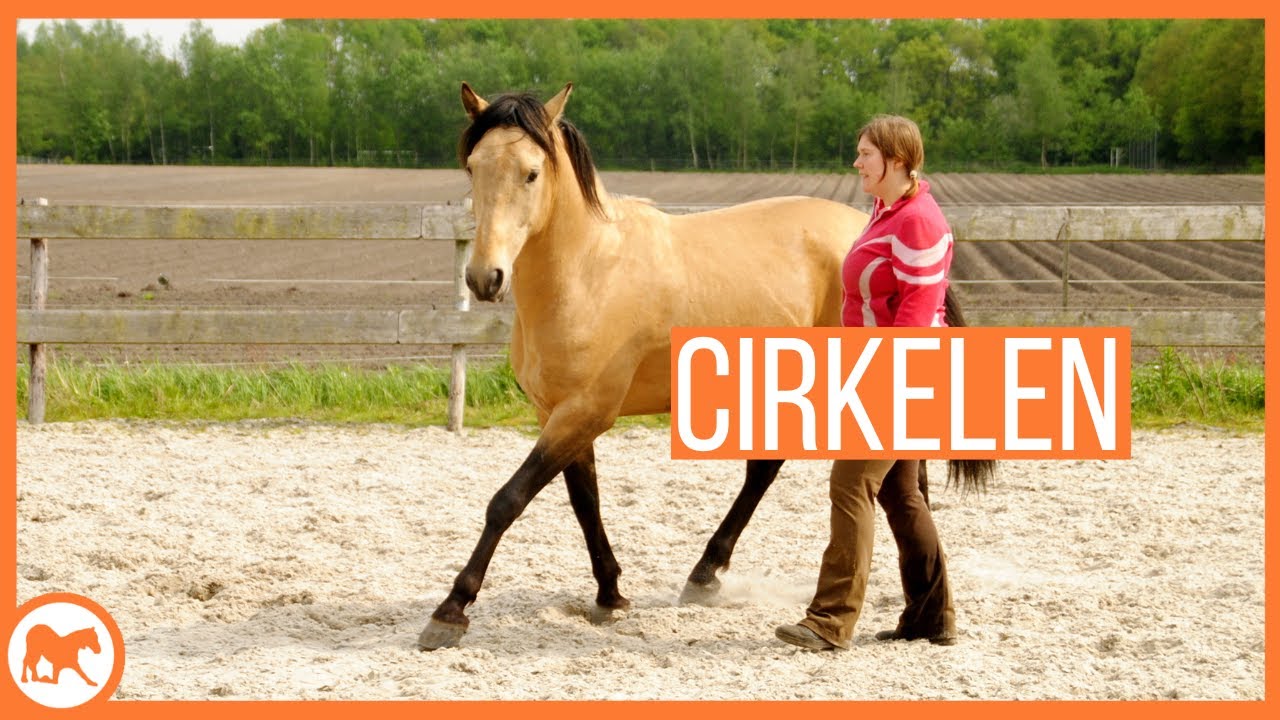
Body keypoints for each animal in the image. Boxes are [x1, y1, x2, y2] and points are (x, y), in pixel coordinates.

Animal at [418, 82, 995, 650]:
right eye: (473, 167)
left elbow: (507, 500)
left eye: (531, 172)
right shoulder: (559, 414)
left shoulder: (585, 412)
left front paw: (451, 610)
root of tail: (859, 221)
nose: (484, 278)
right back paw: (709, 575)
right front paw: (610, 595)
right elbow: (586, 504)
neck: (589, 272)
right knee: (777, 470)